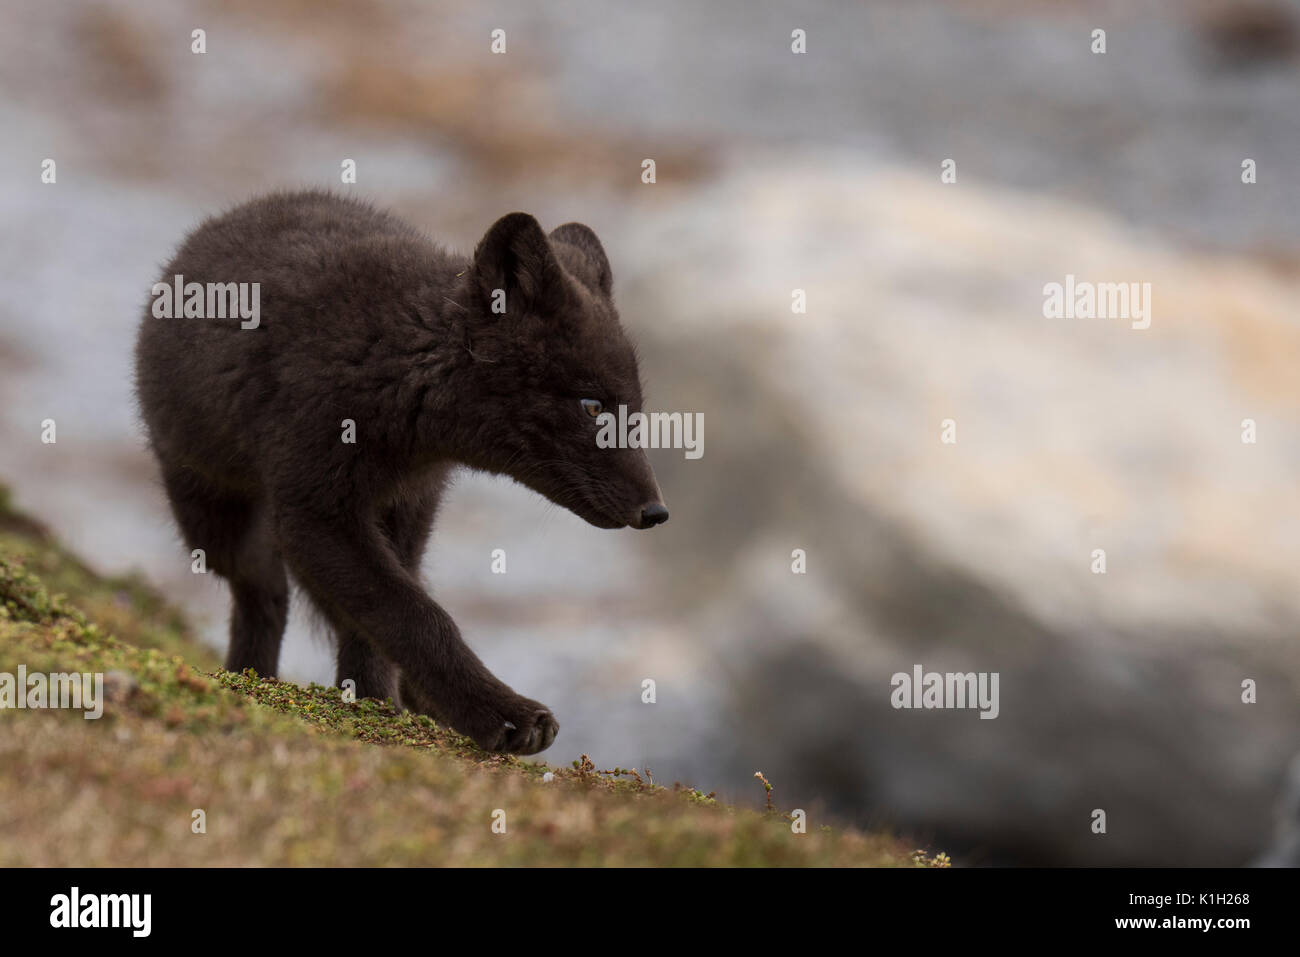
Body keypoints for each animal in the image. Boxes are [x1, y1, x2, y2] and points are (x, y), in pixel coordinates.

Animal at [134, 190, 668, 755]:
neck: (394, 364)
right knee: (266, 593)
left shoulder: (408, 505)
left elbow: (388, 614)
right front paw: (500, 714)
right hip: (217, 521)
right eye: (592, 407)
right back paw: (251, 677)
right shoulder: (315, 510)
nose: (656, 512)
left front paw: (374, 703)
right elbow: (413, 615)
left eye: (635, 412)